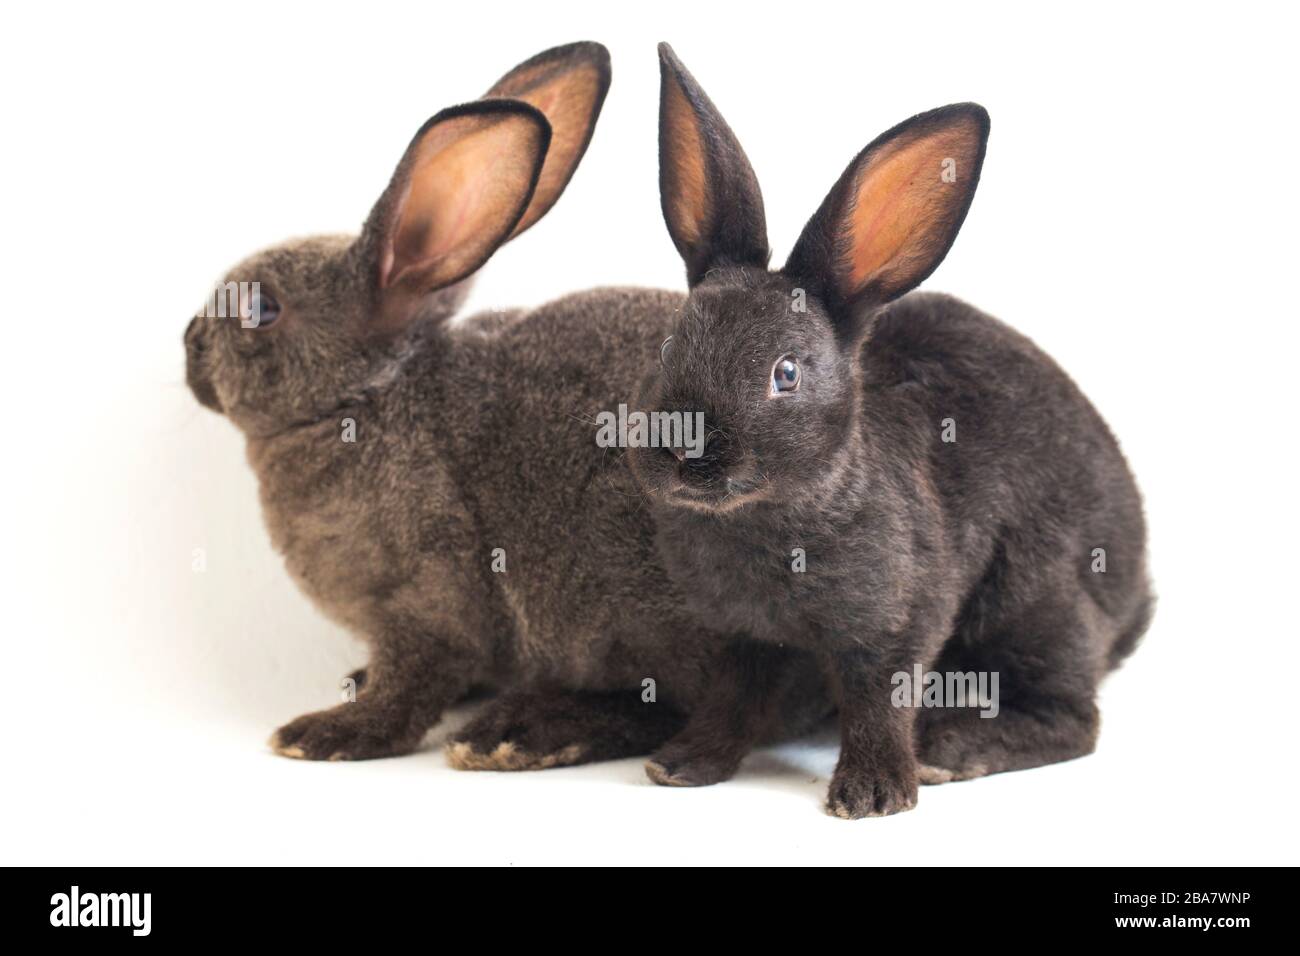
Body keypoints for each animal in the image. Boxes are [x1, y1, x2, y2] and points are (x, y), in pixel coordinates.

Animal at [183, 41, 832, 768]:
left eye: (261, 309)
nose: (188, 347)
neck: (363, 396)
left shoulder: (432, 594)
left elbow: (414, 679)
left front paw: (327, 732)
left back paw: (517, 732)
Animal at [626, 44, 1153, 818]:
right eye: (668, 346)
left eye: (786, 373)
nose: (683, 447)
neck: (769, 517)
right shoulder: (742, 635)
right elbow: (733, 700)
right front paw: (682, 765)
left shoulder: (898, 624)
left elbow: (880, 700)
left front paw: (871, 798)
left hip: (1037, 599)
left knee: (1073, 716)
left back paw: (952, 749)